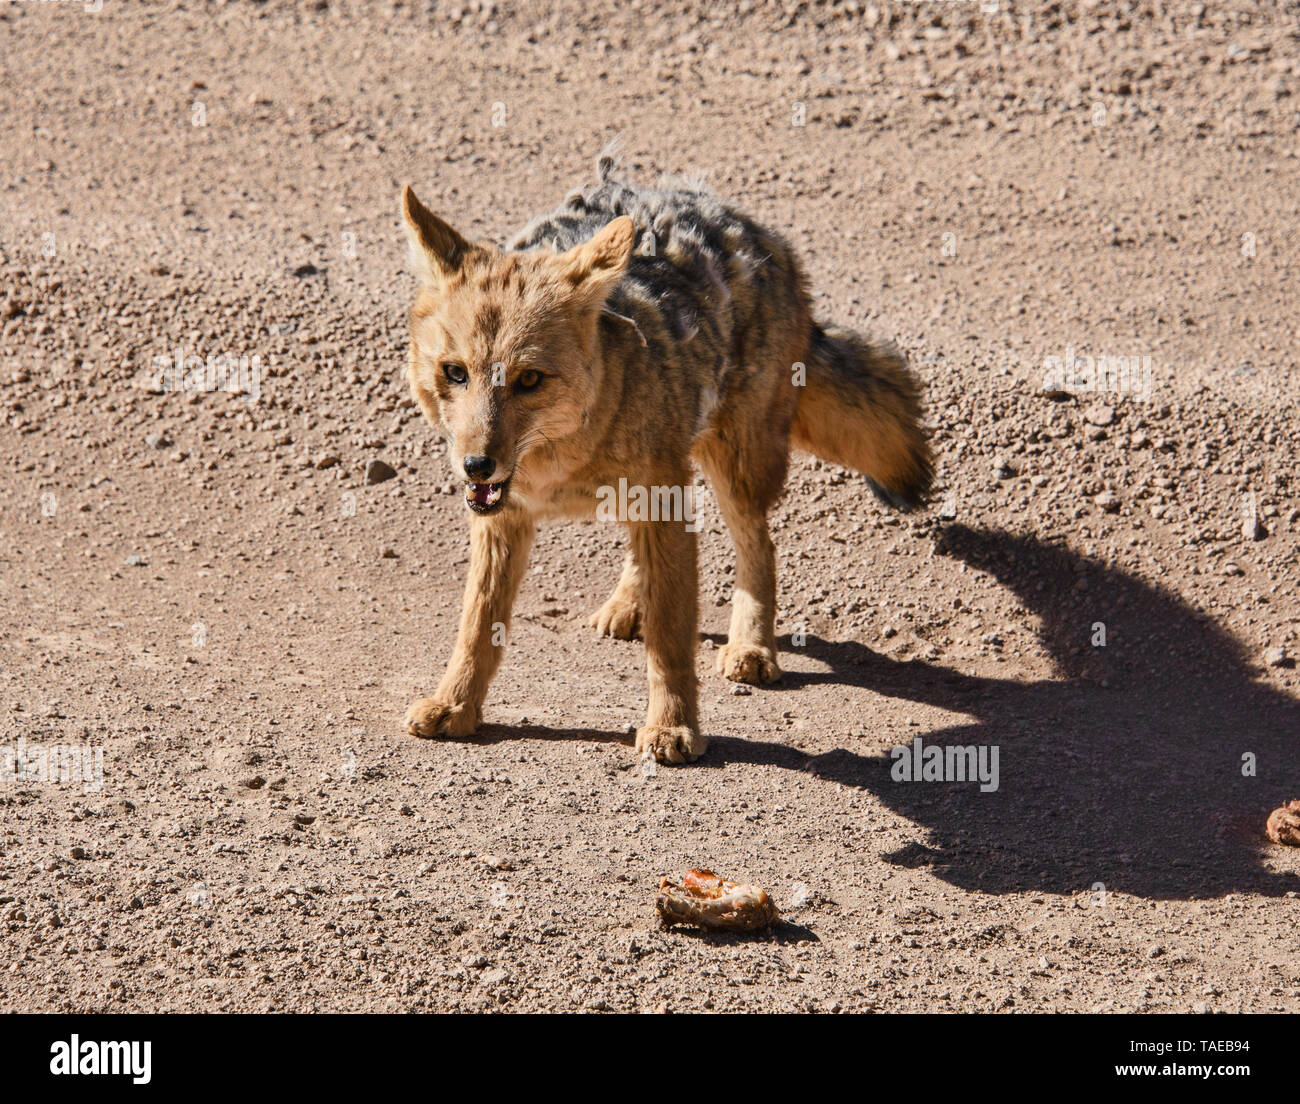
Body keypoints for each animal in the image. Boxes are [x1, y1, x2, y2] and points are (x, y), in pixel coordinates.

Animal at [400, 152, 932, 764]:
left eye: (528, 380)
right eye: (455, 373)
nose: (477, 465)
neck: (565, 466)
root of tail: (745, 221)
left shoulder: (663, 500)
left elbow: (672, 639)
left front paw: (674, 726)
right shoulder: (504, 519)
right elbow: (476, 626)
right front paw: (455, 705)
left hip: (732, 466)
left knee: (760, 546)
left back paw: (752, 647)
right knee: (654, 557)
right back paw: (629, 606)